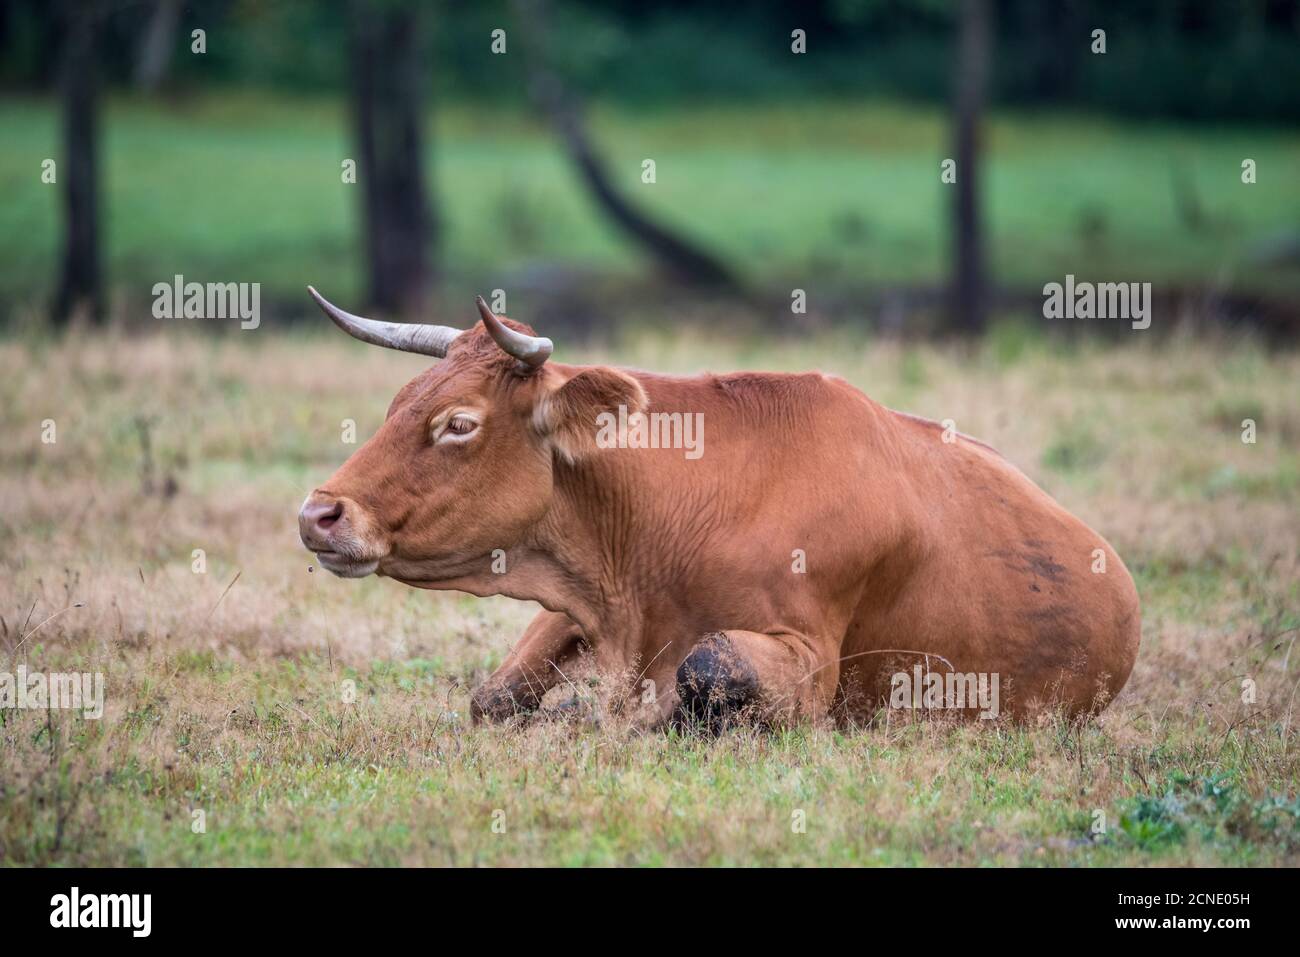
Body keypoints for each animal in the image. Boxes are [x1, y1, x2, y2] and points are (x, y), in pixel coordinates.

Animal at [298, 288, 1140, 728]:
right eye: (397, 405)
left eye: (459, 423)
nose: (317, 514)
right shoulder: (582, 613)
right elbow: (493, 693)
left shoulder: (810, 670)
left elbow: (705, 665)